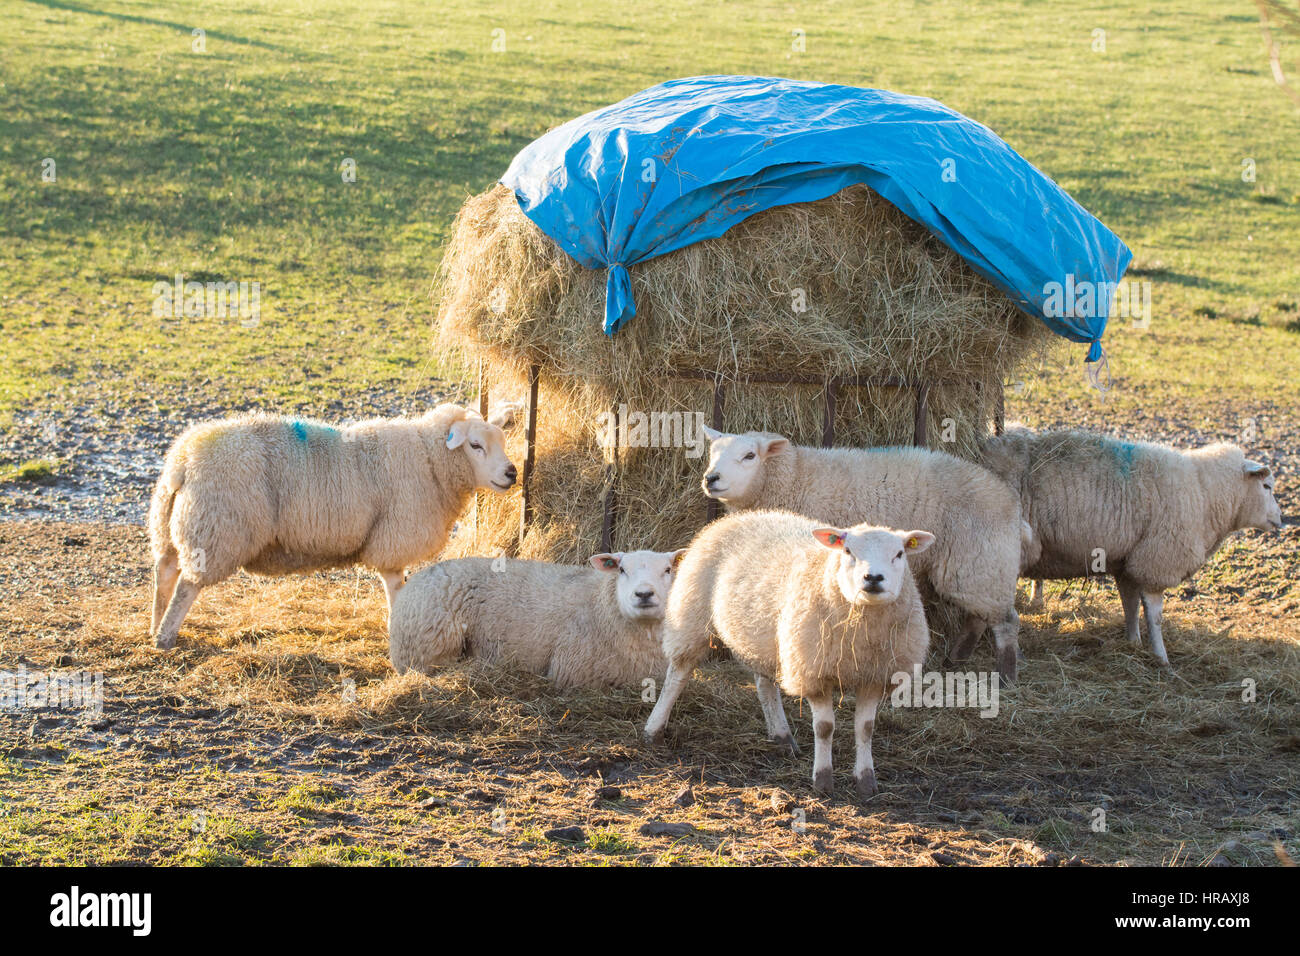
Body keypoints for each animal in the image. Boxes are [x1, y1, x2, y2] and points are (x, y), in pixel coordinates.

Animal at [148, 403, 519, 650]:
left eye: (502, 440)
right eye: (475, 445)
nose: (512, 473)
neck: (428, 459)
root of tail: (183, 460)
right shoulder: (392, 542)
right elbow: (395, 590)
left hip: (171, 526)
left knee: (165, 573)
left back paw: (153, 625)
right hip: (216, 530)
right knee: (187, 586)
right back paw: (165, 637)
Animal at [643, 509, 934, 799]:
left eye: (899, 554)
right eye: (848, 551)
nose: (873, 578)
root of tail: (740, 516)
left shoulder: (875, 675)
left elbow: (866, 728)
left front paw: (866, 781)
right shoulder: (813, 671)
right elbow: (824, 727)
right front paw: (822, 780)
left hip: (763, 638)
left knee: (764, 684)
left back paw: (781, 735)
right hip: (691, 614)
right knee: (677, 676)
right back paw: (653, 729)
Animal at [699, 427, 1025, 682]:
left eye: (749, 456)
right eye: (712, 453)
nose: (711, 478)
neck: (795, 477)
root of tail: (1009, 500)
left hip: (978, 561)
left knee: (1006, 620)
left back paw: (1006, 674)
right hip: (981, 568)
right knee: (980, 617)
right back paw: (955, 659)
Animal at [978, 426, 1284, 667]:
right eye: (1266, 486)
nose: (1281, 520)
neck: (1203, 493)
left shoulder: (1128, 563)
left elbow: (1130, 604)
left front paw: (1133, 641)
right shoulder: (1157, 560)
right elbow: (1155, 616)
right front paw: (1161, 658)